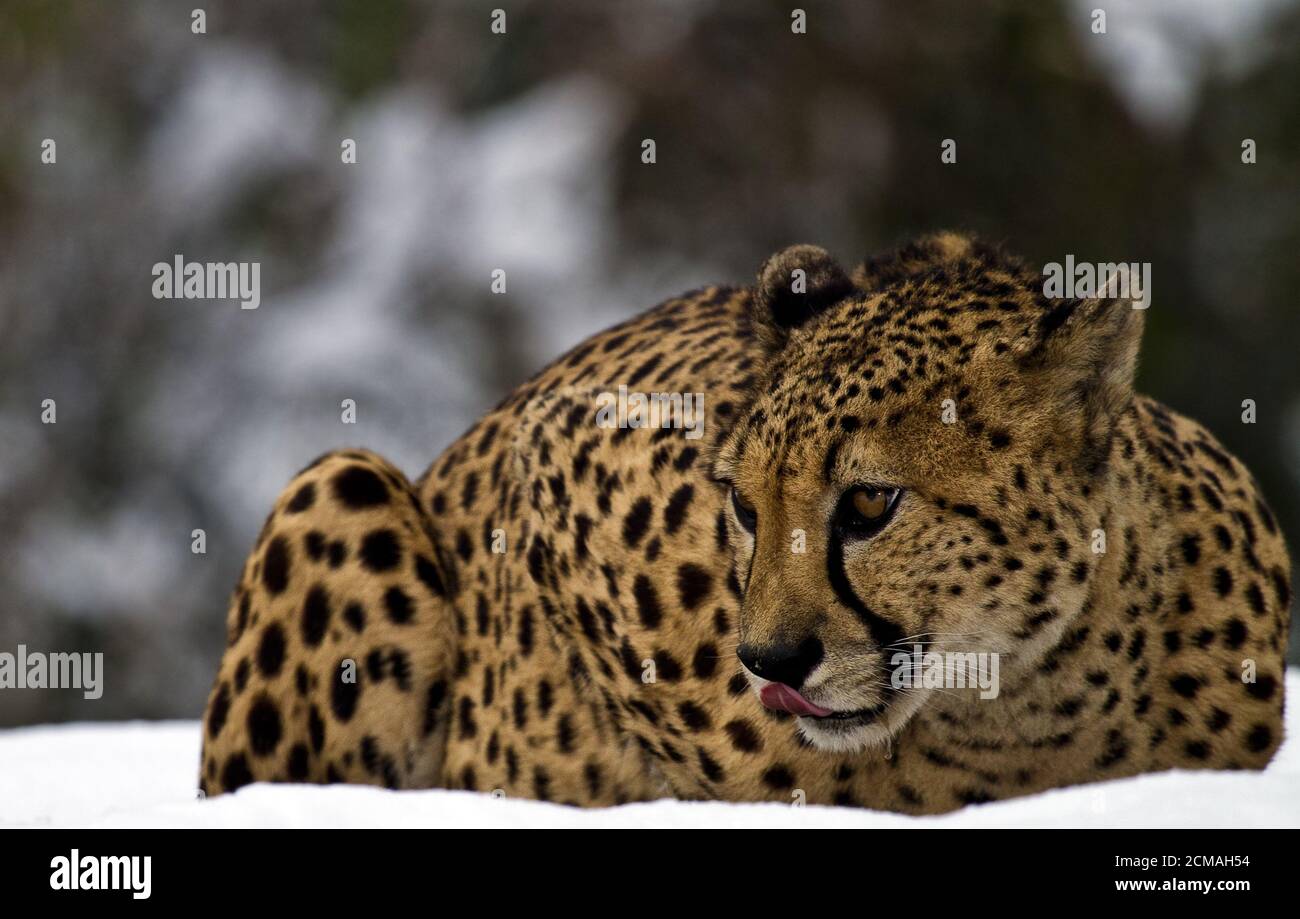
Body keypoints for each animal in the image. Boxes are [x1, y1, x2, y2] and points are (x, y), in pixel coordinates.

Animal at [198, 232, 1291, 813]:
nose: (768, 659)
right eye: (740, 504)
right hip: (341, 483)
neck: (1034, 699)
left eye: (870, 502)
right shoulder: (557, 443)